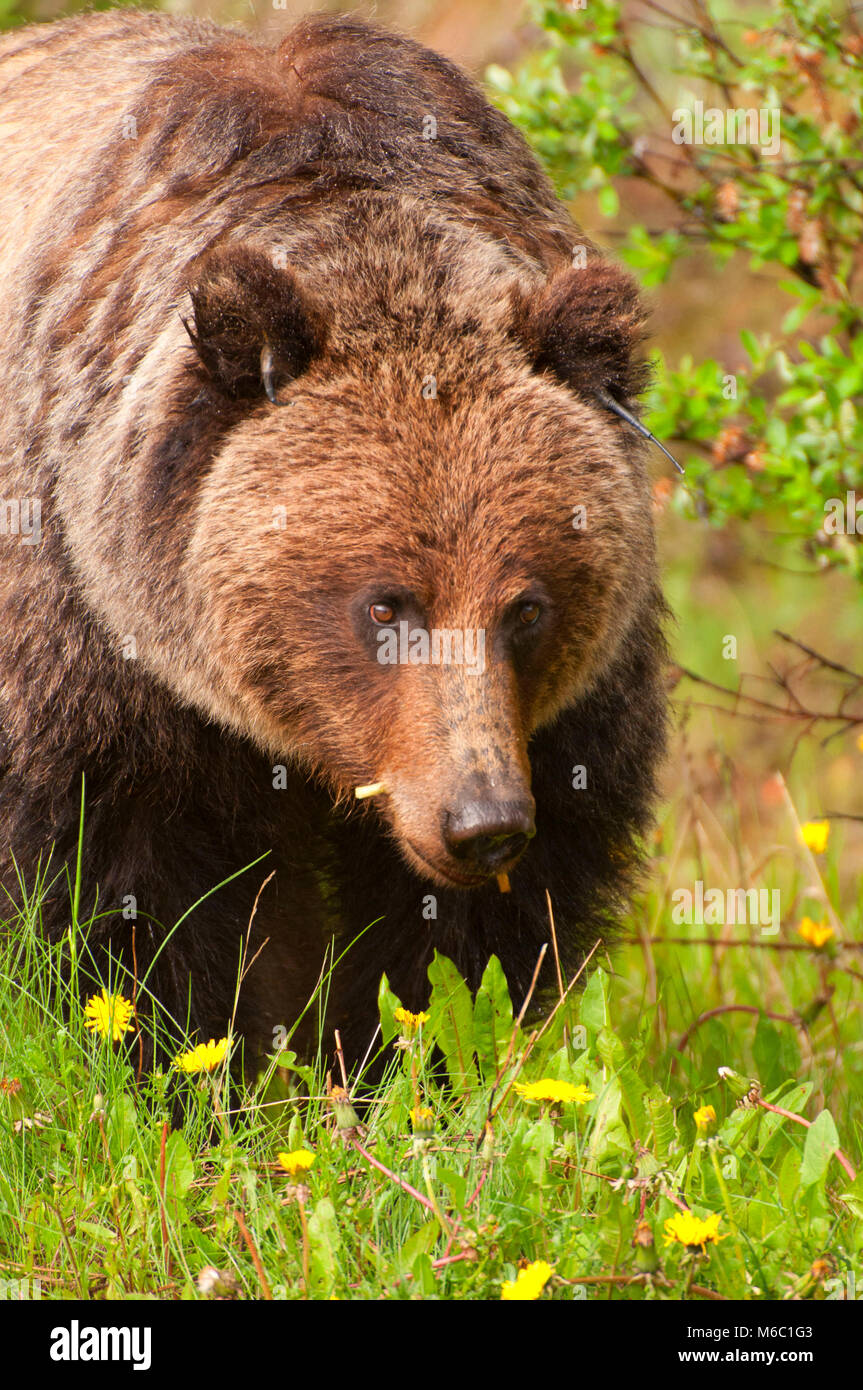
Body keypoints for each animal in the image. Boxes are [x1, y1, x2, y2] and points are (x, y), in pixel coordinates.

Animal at [0, 10, 668, 1070]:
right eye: (384, 603)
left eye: (527, 606)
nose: (480, 822)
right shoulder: (94, 646)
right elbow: (125, 902)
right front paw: (194, 1065)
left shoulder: (567, 716)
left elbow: (466, 945)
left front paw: (403, 1059)